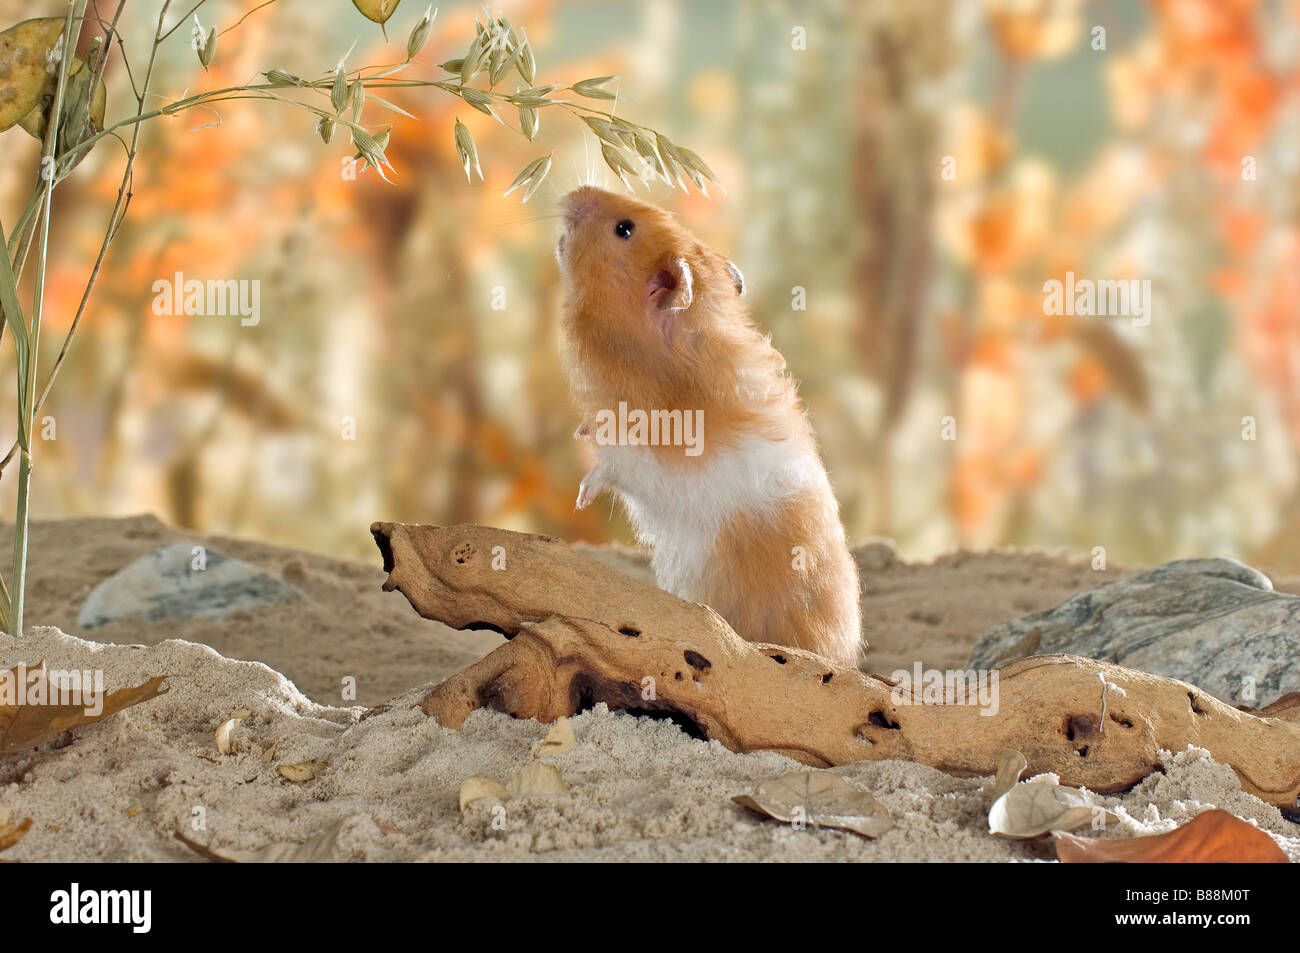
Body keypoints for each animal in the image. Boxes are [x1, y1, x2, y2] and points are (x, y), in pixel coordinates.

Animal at [554, 185, 863, 668]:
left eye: (624, 229)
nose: (572, 194)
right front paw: (580, 437)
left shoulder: (642, 460)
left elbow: (609, 470)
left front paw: (581, 498)